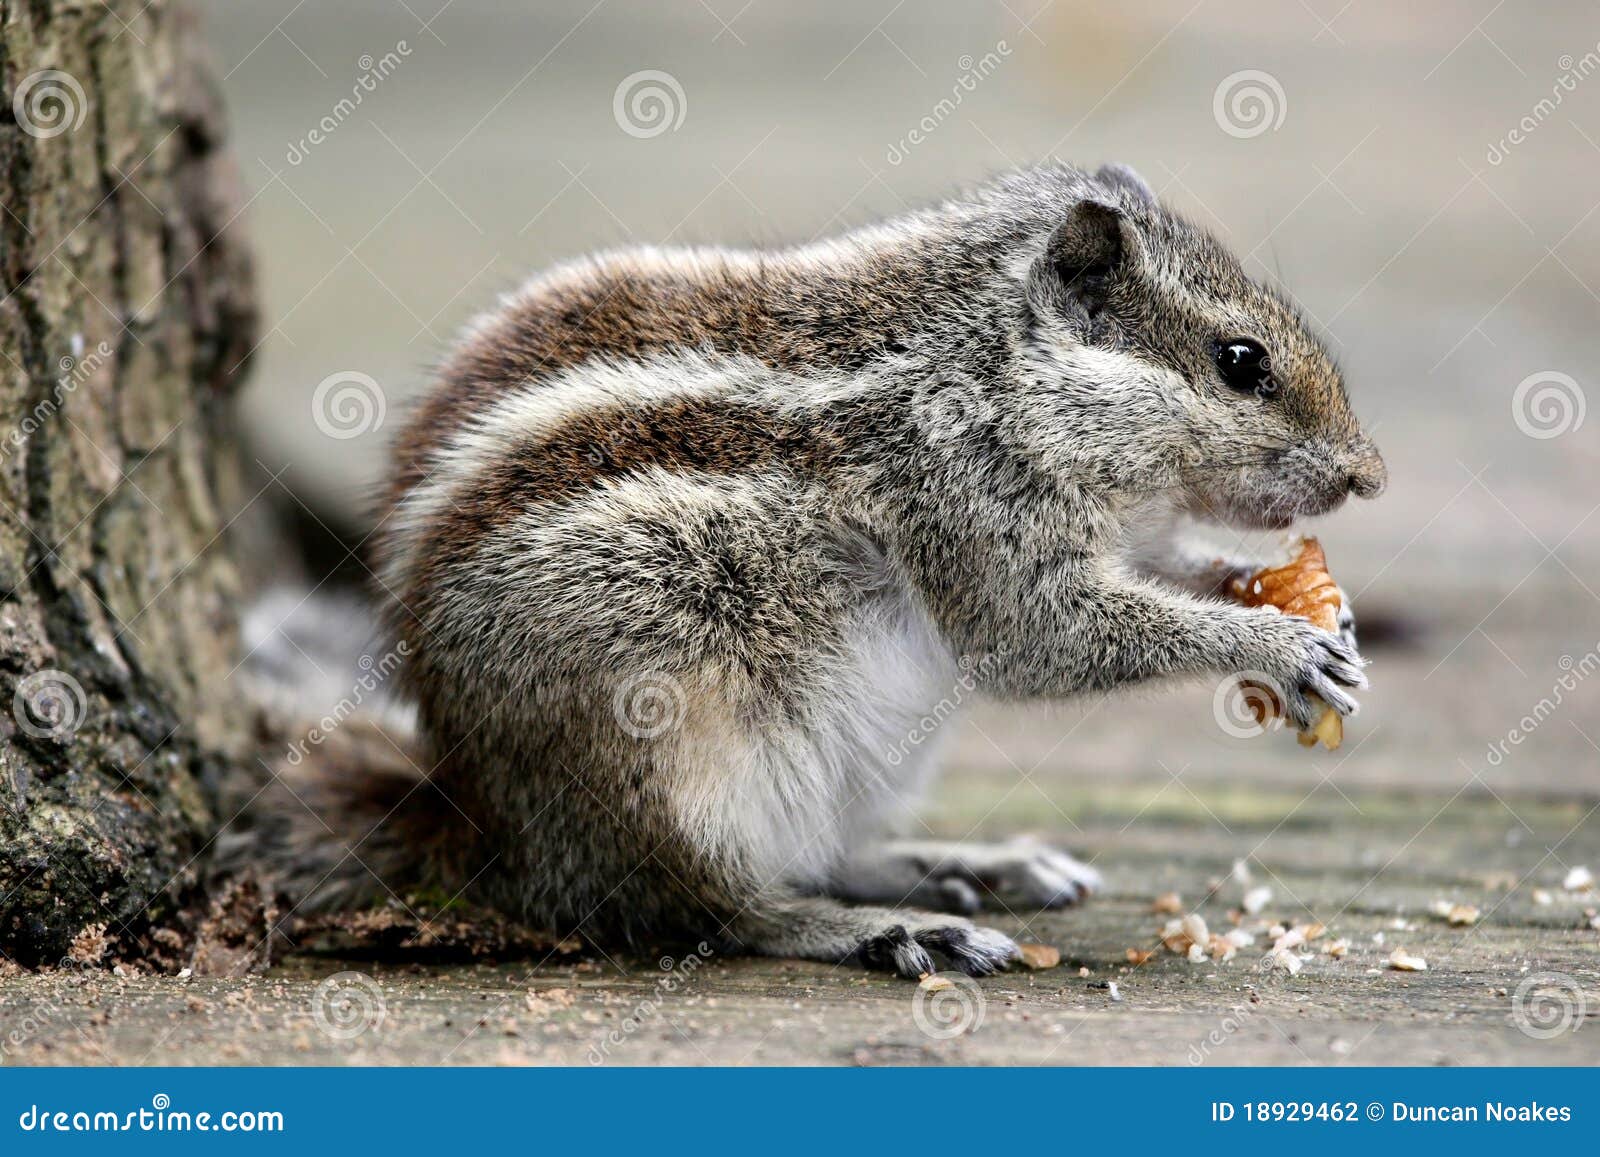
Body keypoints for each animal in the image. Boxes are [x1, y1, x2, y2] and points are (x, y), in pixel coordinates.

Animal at [223, 162, 1385, 978]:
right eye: (1241, 363)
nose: (1367, 475)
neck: (990, 365)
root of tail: (482, 820)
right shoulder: (968, 507)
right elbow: (1040, 641)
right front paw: (1276, 643)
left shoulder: (1117, 529)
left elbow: (1165, 564)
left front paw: (1281, 597)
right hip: (670, 747)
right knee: (718, 907)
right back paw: (884, 928)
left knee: (816, 848)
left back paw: (961, 866)